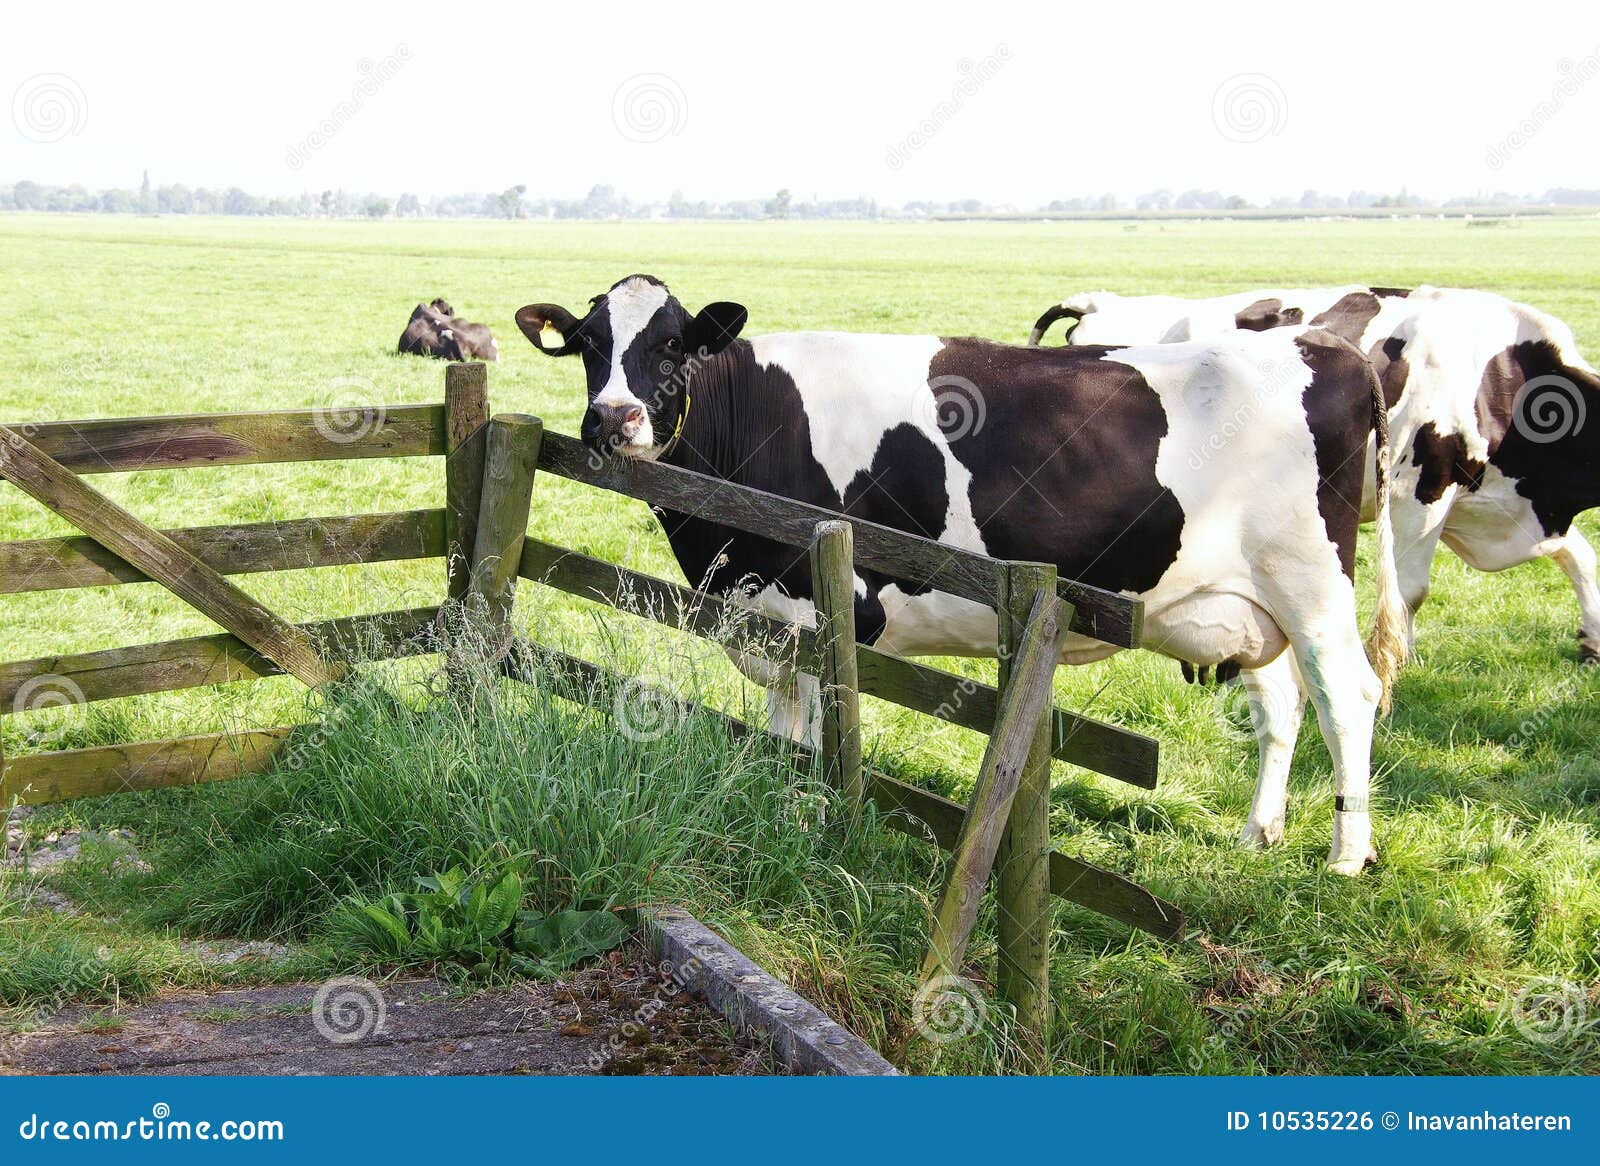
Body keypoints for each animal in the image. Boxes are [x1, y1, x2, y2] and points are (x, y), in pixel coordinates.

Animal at [515, 274, 1410, 875]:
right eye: (588, 344)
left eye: (671, 344)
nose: (613, 419)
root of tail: (1324, 347)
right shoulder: (767, 611)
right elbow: (781, 723)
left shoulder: (823, 606)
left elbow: (812, 727)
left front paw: (805, 818)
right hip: (1250, 602)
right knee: (1283, 703)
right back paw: (1260, 832)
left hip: (1311, 580)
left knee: (1347, 697)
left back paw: (1348, 854)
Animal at [1030, 285, 1600, 665]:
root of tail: (1098, 302)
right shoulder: (1421, 491)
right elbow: (1409, 593)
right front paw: (1402, 663)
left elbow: (1579, 555)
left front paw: (1593, 640)